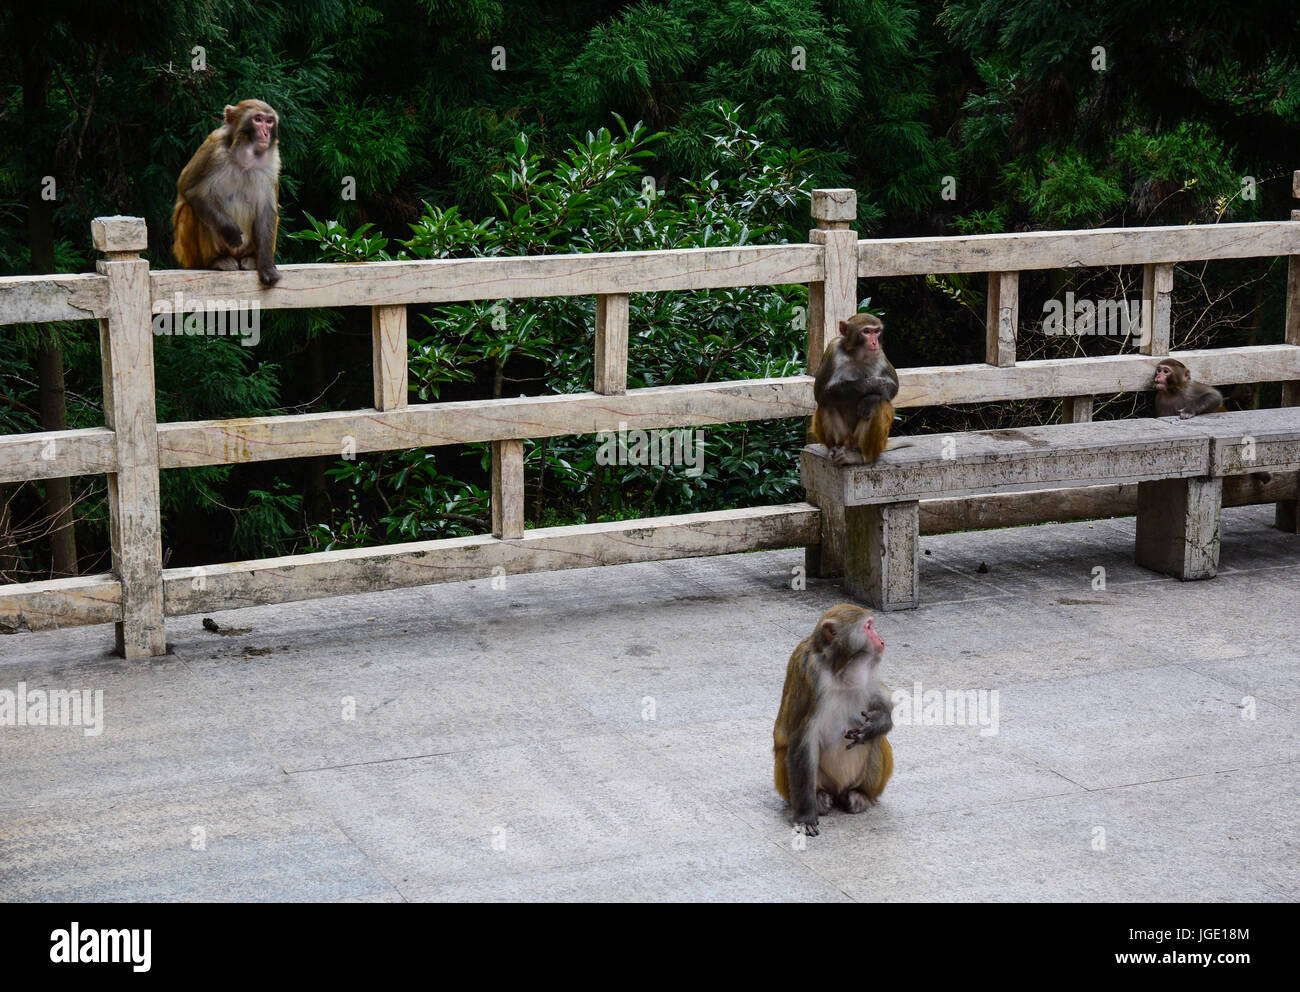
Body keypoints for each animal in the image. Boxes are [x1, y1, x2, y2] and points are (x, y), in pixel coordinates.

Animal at [172, 99, 282, 286]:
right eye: (258, 119)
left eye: (269, 121)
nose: (266, 133)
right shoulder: (213, 147)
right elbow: (191, 190)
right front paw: (229, 228)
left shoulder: (272, 162)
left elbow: (266, 210)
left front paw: (266, 267)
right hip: (188, 255)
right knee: (190, 210)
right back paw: (215, 261)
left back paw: (252, 259)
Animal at [773, 603, 894, 836]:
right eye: (868, 627)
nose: (882, 640)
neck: (840, 667)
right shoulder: (810, 676)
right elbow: (803, 741)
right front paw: (805, 816)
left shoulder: (869, 671)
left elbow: (885, 707)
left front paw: (876, 723)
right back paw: (819, 799)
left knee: (876, 740)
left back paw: (860, 796)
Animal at [812, 313, 900, 465]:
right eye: (866, 331)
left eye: (876, 331)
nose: (874, 343)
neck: (857, 356)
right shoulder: (833, 350)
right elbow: (820, 393)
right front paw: (874, 384)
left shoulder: (880, 354)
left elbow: (893, 386)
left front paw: (871, 398)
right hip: (844, 436)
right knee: (826, 403)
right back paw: (835, 448)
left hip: (859, 441)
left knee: (880, 404)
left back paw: (862, 457)